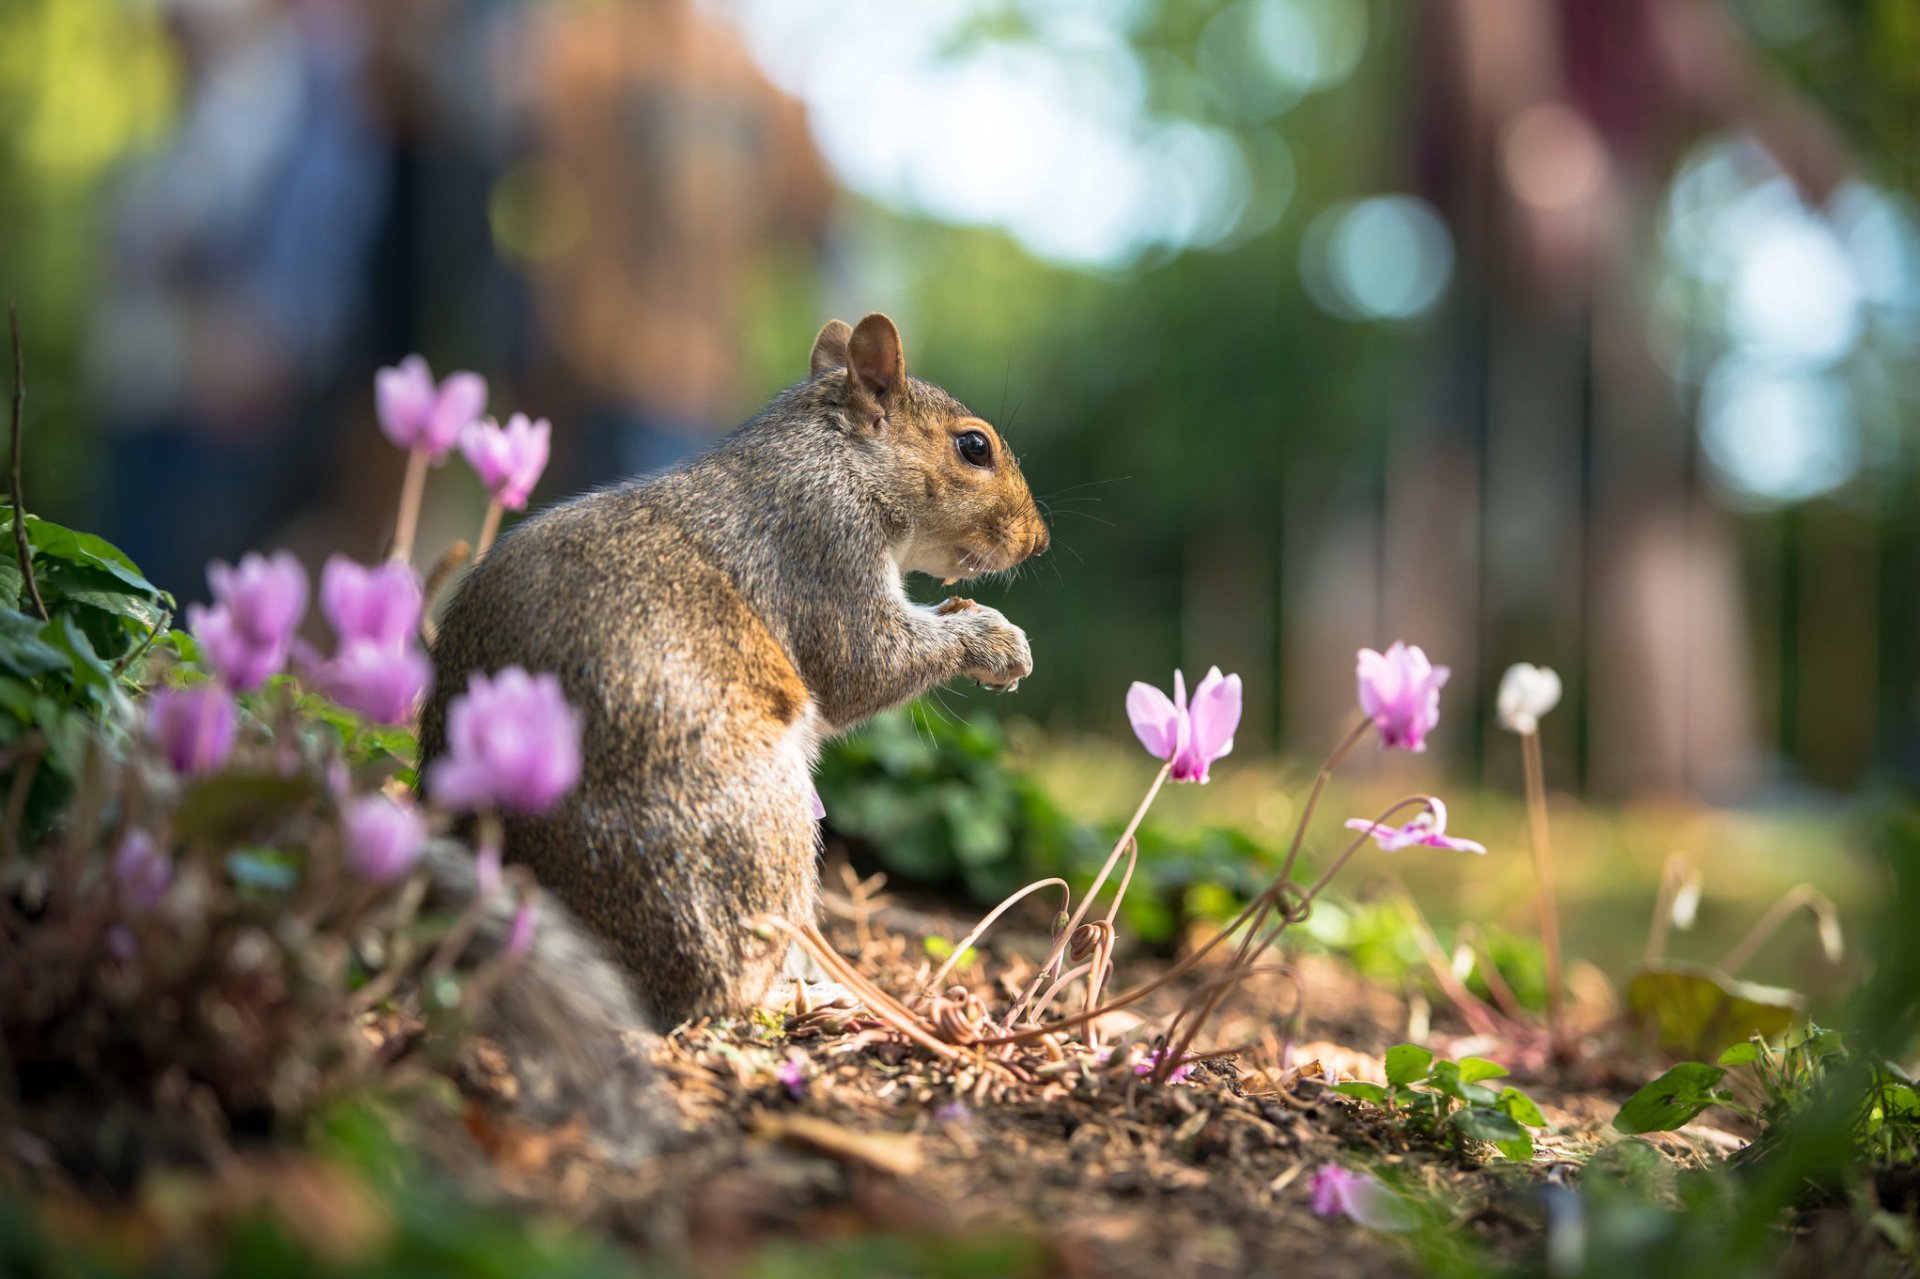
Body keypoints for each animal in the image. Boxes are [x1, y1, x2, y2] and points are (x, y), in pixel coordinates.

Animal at [421, 313, 1049, 1034]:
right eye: (974, 447)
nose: (1038, 541)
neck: (833, 456)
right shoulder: (823, 546)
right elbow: (866, 665)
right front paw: (996, 641)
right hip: (756, 825)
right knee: (718, 990)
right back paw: (804, 996)